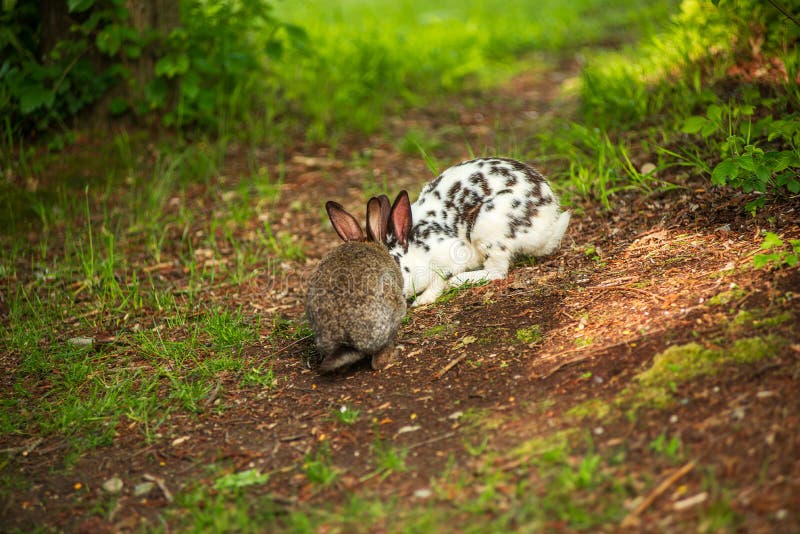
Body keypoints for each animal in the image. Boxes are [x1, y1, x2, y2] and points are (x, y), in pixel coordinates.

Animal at [386, 157, 570, 306]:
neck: (417, 249)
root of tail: (549, 224)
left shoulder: (452, 257)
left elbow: (439, 280)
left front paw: (422, 300)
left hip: (488, 230)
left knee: (497, 272)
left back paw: (458, 280)